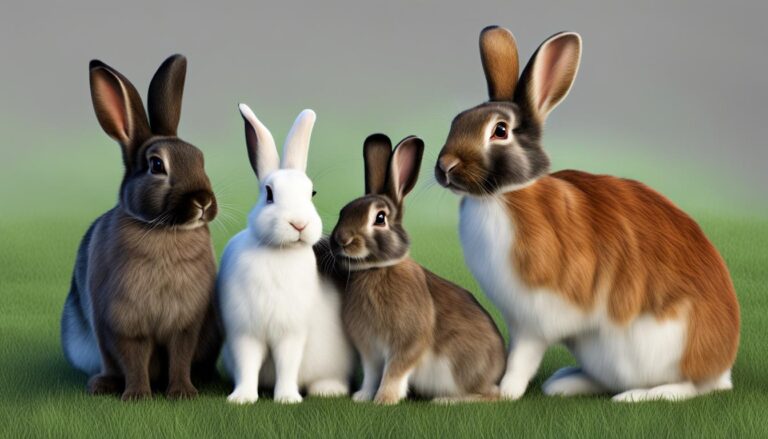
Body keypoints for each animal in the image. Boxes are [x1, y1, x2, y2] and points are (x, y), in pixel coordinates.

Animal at [60, 54, 222, 400]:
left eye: (200, 158)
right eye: (156, 165)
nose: (202, 201)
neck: (163, 231)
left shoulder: (186, 323)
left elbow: (180, 356)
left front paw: (182, 393)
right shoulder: (123, 324)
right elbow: (133, 358)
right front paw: (136, 396)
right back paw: (102, 385)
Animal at [217, 104, 354, 404]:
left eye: (312, 193)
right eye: (269, 194)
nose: (299, 224)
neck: (279, 252)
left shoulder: (292, 332)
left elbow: (287, 364)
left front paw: (287, 398)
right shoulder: (244, 332)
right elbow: (247, 365)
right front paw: (242, 398)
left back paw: (329, 390)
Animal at [328, 134, 506, 405]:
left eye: (380, 218)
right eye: (343, 211)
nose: (341, 240)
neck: (376, 269)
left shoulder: (407, 341)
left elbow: (395, 371)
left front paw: (384, 400)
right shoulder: (369, 350)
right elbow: (371, 374)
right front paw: (362, 396)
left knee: (491, 395)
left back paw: (446, 400)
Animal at [433, 26, 740, 402]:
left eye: (500, 130)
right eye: (457, 120)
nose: (445, 167)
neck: (504, 196)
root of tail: (722, 364)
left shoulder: (535, 319)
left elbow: (521, 358)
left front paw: (500, 392)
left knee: (691, 386)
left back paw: (634, 397)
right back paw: (564, 382)